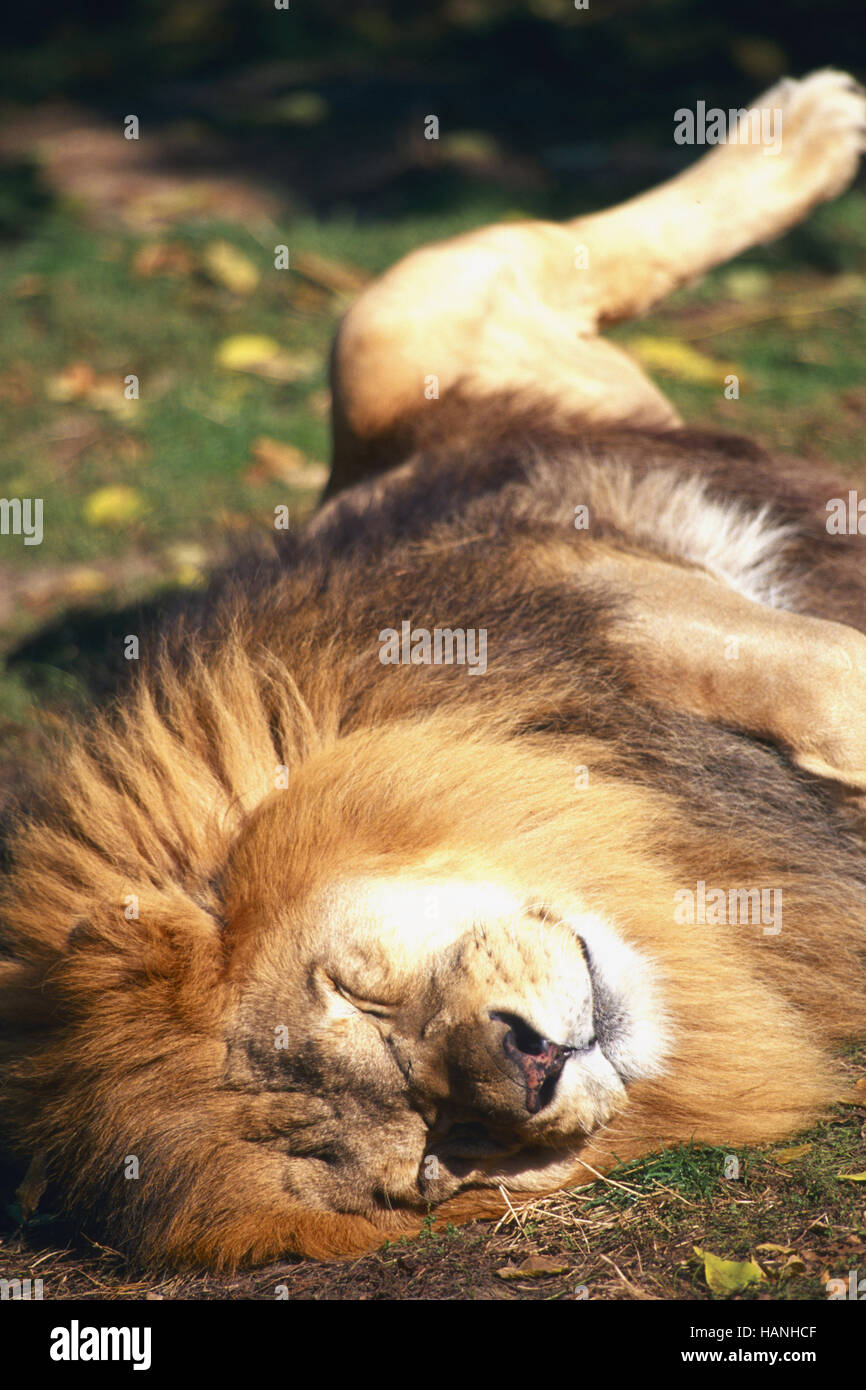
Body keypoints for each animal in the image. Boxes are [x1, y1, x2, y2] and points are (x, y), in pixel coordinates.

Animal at [2, 69, 866, 1270]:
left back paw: (811, 124)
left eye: (350, 997)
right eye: (438, 1153)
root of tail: (358, 472)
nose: (530, 1068)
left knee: (511, 257)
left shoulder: (642, 607)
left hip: (389, 338)